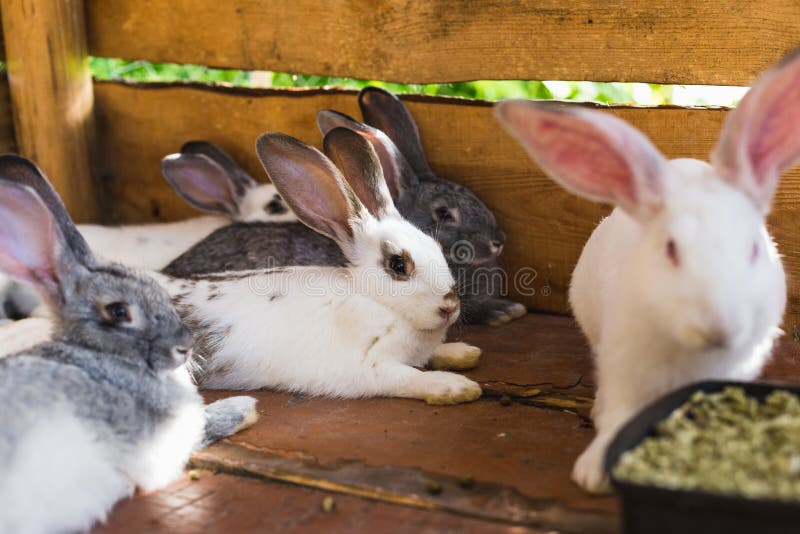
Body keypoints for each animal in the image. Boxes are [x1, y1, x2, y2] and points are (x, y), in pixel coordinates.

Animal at [155, 128, 483, 404]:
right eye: (398, 264)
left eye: (437, 247)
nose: (450, 306)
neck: (376, 302)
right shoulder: (369, 368)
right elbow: (409, 378)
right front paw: (455, 387)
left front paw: (463, 352)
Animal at [494, 48, 800, 494]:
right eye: (671, 249)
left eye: (755, 248)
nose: (720, 327)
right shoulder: (622, 369)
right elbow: (618, 415)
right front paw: (593, 473)